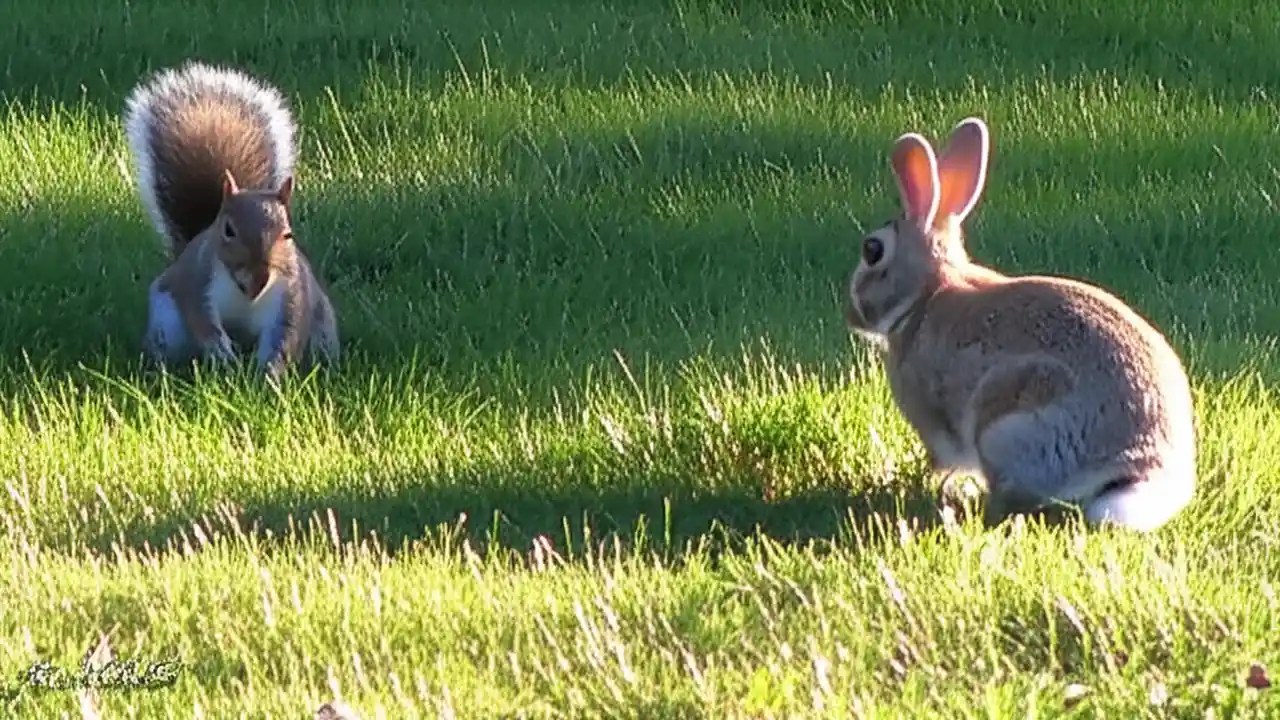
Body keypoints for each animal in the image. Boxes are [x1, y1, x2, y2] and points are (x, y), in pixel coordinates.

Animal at [122, 60, 339, 380]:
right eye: (228, 230)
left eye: (287, 234)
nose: (259, 279)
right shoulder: (198, 282)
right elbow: (202, 322)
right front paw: (222, 354)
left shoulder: (292, 295)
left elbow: (283, 338)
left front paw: (269, 375)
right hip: (167, 324)